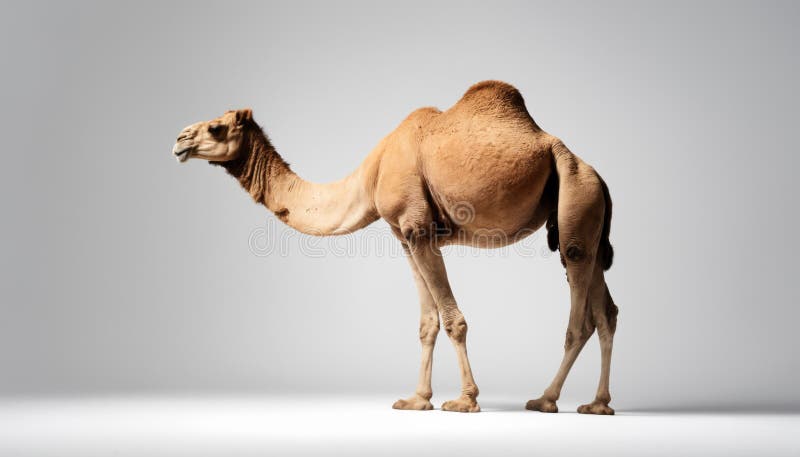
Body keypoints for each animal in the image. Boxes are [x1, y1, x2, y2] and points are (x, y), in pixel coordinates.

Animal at [171, 81, 618, 415]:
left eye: (216, 128)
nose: (179, 139)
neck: (370, 175)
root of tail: (594, 173)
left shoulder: (417, 228)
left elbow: (452, 320)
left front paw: (465, 400)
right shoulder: (405, 237)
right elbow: (427, 322)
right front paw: (417, 399)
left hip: (576, 201)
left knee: (580, 315)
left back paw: (546, 399)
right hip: (587, 218)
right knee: (606, 310)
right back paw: (597, 405)